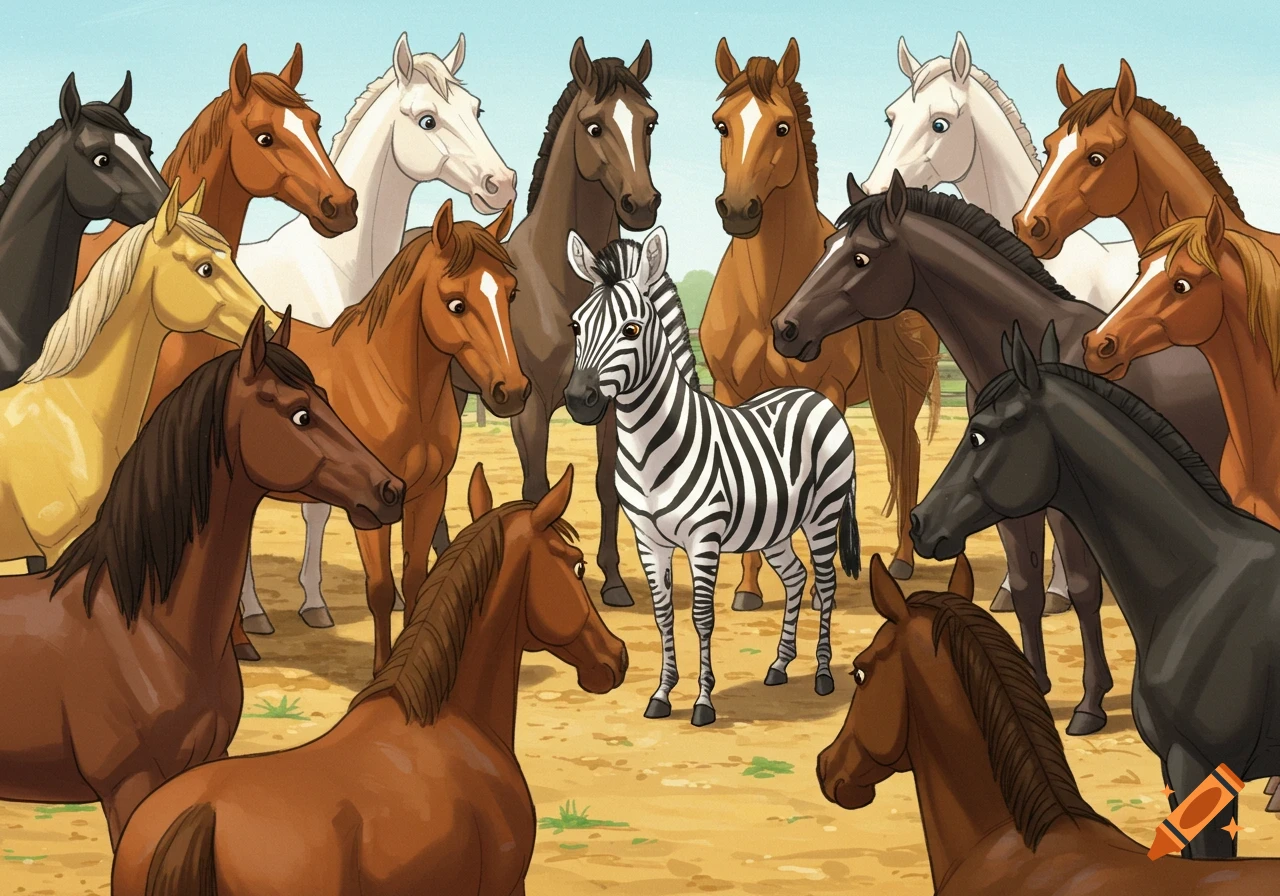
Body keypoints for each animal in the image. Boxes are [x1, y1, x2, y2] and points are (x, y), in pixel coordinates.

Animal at [563, 226, 860, 727]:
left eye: (631, 330)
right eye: (577, 326)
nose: (578, 401)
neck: (649, 447)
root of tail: (811, 395)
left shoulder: (704, 537)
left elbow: (702, 617)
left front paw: (703, 703)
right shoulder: (648, 539)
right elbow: (663, 615)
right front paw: (662, 695)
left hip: (823, 514)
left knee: (825, 583)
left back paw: (821, 675)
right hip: (776, 527)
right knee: (796, 577)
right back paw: (779, 666)